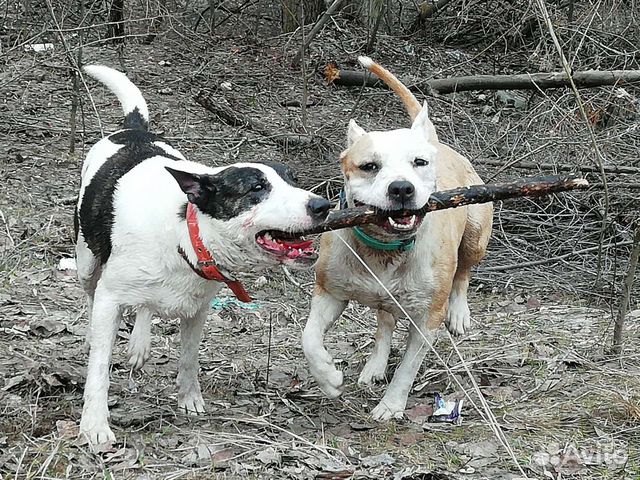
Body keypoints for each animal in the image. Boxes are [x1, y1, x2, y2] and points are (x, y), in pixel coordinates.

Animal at [76, 64, 330, 446]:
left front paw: (189, 399)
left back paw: (139, 343)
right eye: (257, 188)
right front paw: (95, 425)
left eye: (293, 180)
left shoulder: (197, 309)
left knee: (146, 307)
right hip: (86, 263)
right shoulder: (110, 298)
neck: (184, 232)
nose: (323, 205)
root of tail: (134, 130)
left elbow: (189, 357)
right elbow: (99, 368)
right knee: (95, 293)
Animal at [302, 57, 492, 420]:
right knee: (385, 320)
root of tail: (437, 141)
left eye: (419, 163)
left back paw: (459, 313)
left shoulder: (427, 319)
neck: (384, 247)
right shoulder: (329, 292)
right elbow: (309, 339)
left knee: (464, 272)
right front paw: (329, 378)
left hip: (477, 234)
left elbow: (407, 368)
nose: (401, 188)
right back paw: (375, 366)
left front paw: (390, 406)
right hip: (386, 297)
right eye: (368, 166)